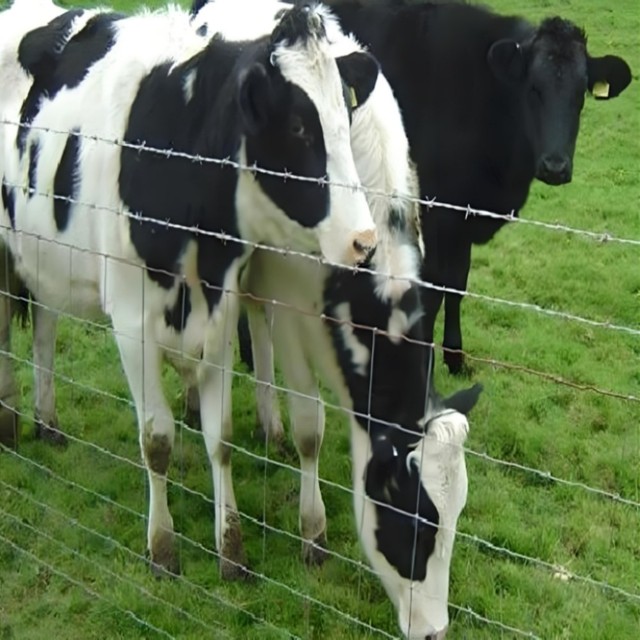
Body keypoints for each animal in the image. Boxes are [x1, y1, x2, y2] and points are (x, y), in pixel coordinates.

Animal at [0, 0, 383, 579]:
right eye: (298, 126)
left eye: (347, 117)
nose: (364, 241)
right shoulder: (131, 322)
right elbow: (156, 439)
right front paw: (162, 549)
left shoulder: (219, 312)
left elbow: (219, 437)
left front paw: (231, 549)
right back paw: (9, 427)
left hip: (43, 250)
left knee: (44, 328)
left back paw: (47, 422)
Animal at [235, 0, 632, 375]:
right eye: (533, 89)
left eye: (580, 94)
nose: (555, 166)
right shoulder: (436, 213)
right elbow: (433, 287)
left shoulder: (463, 216)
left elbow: (457, 283)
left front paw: (455, 356)